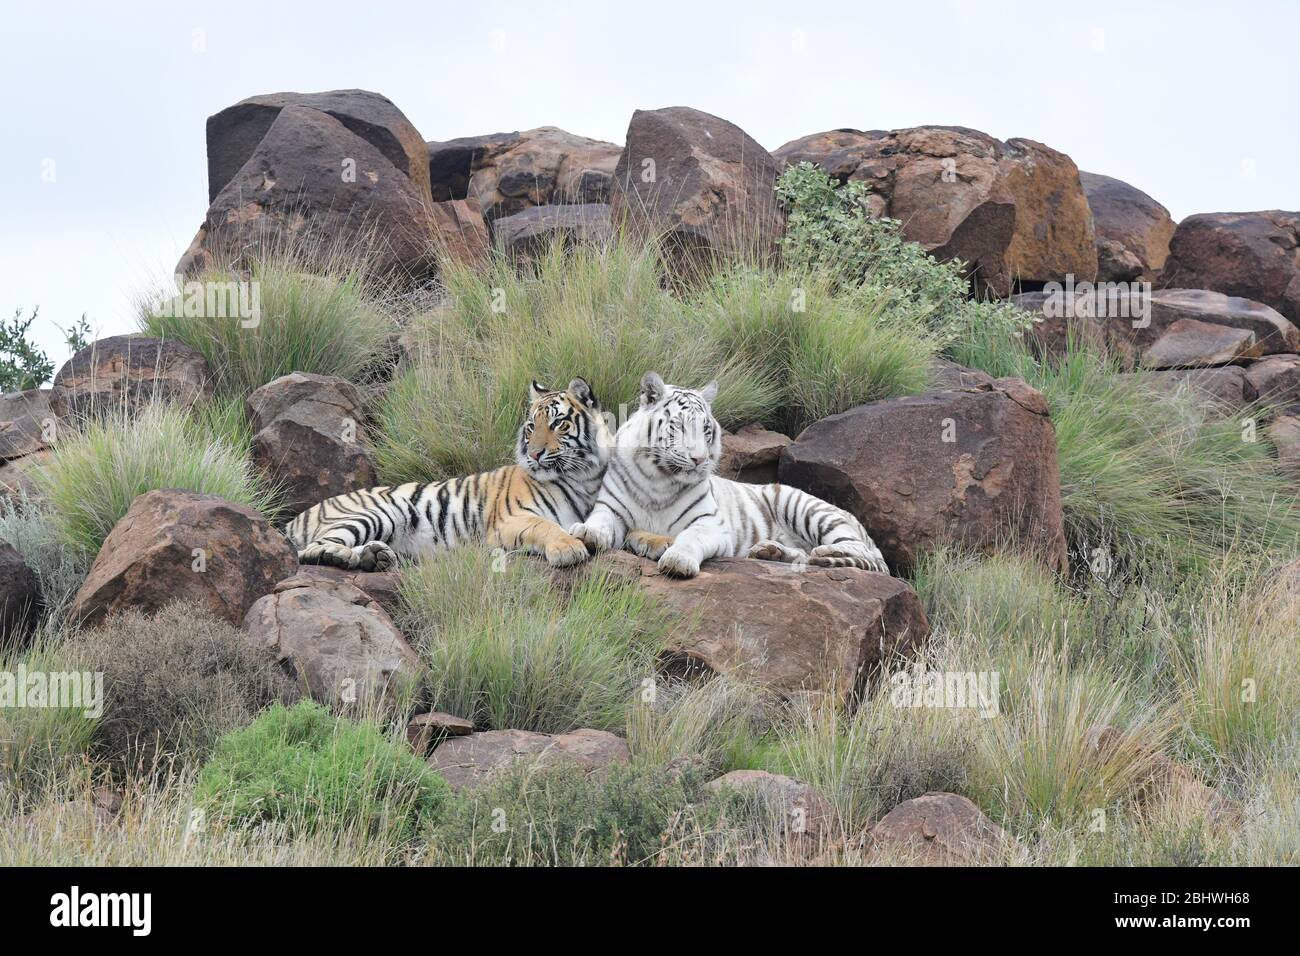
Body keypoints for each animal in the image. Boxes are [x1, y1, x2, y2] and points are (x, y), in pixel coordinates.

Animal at [285, 378, 610, 571]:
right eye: (532, 427)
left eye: (557, 424)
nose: (533, 454)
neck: (584, 477)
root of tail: (298, 517)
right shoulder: (509, 520)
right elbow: (544, 526)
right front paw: (568, 548)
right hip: (376, 512)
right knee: (311, 549)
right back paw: (343, 556)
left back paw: (375, 556)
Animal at [569, 371, 889, 579]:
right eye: (679, 426)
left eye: (706, 429)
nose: (699, 459)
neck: (659, 478)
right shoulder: (611, 510)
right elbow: (599, 523)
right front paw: (586, 532)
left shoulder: (710, 524)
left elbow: (689, 538)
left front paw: (678, 560)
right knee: (805, 555)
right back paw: (770, 552)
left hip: (805, 506)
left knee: (860, 552)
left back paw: (825, 554)